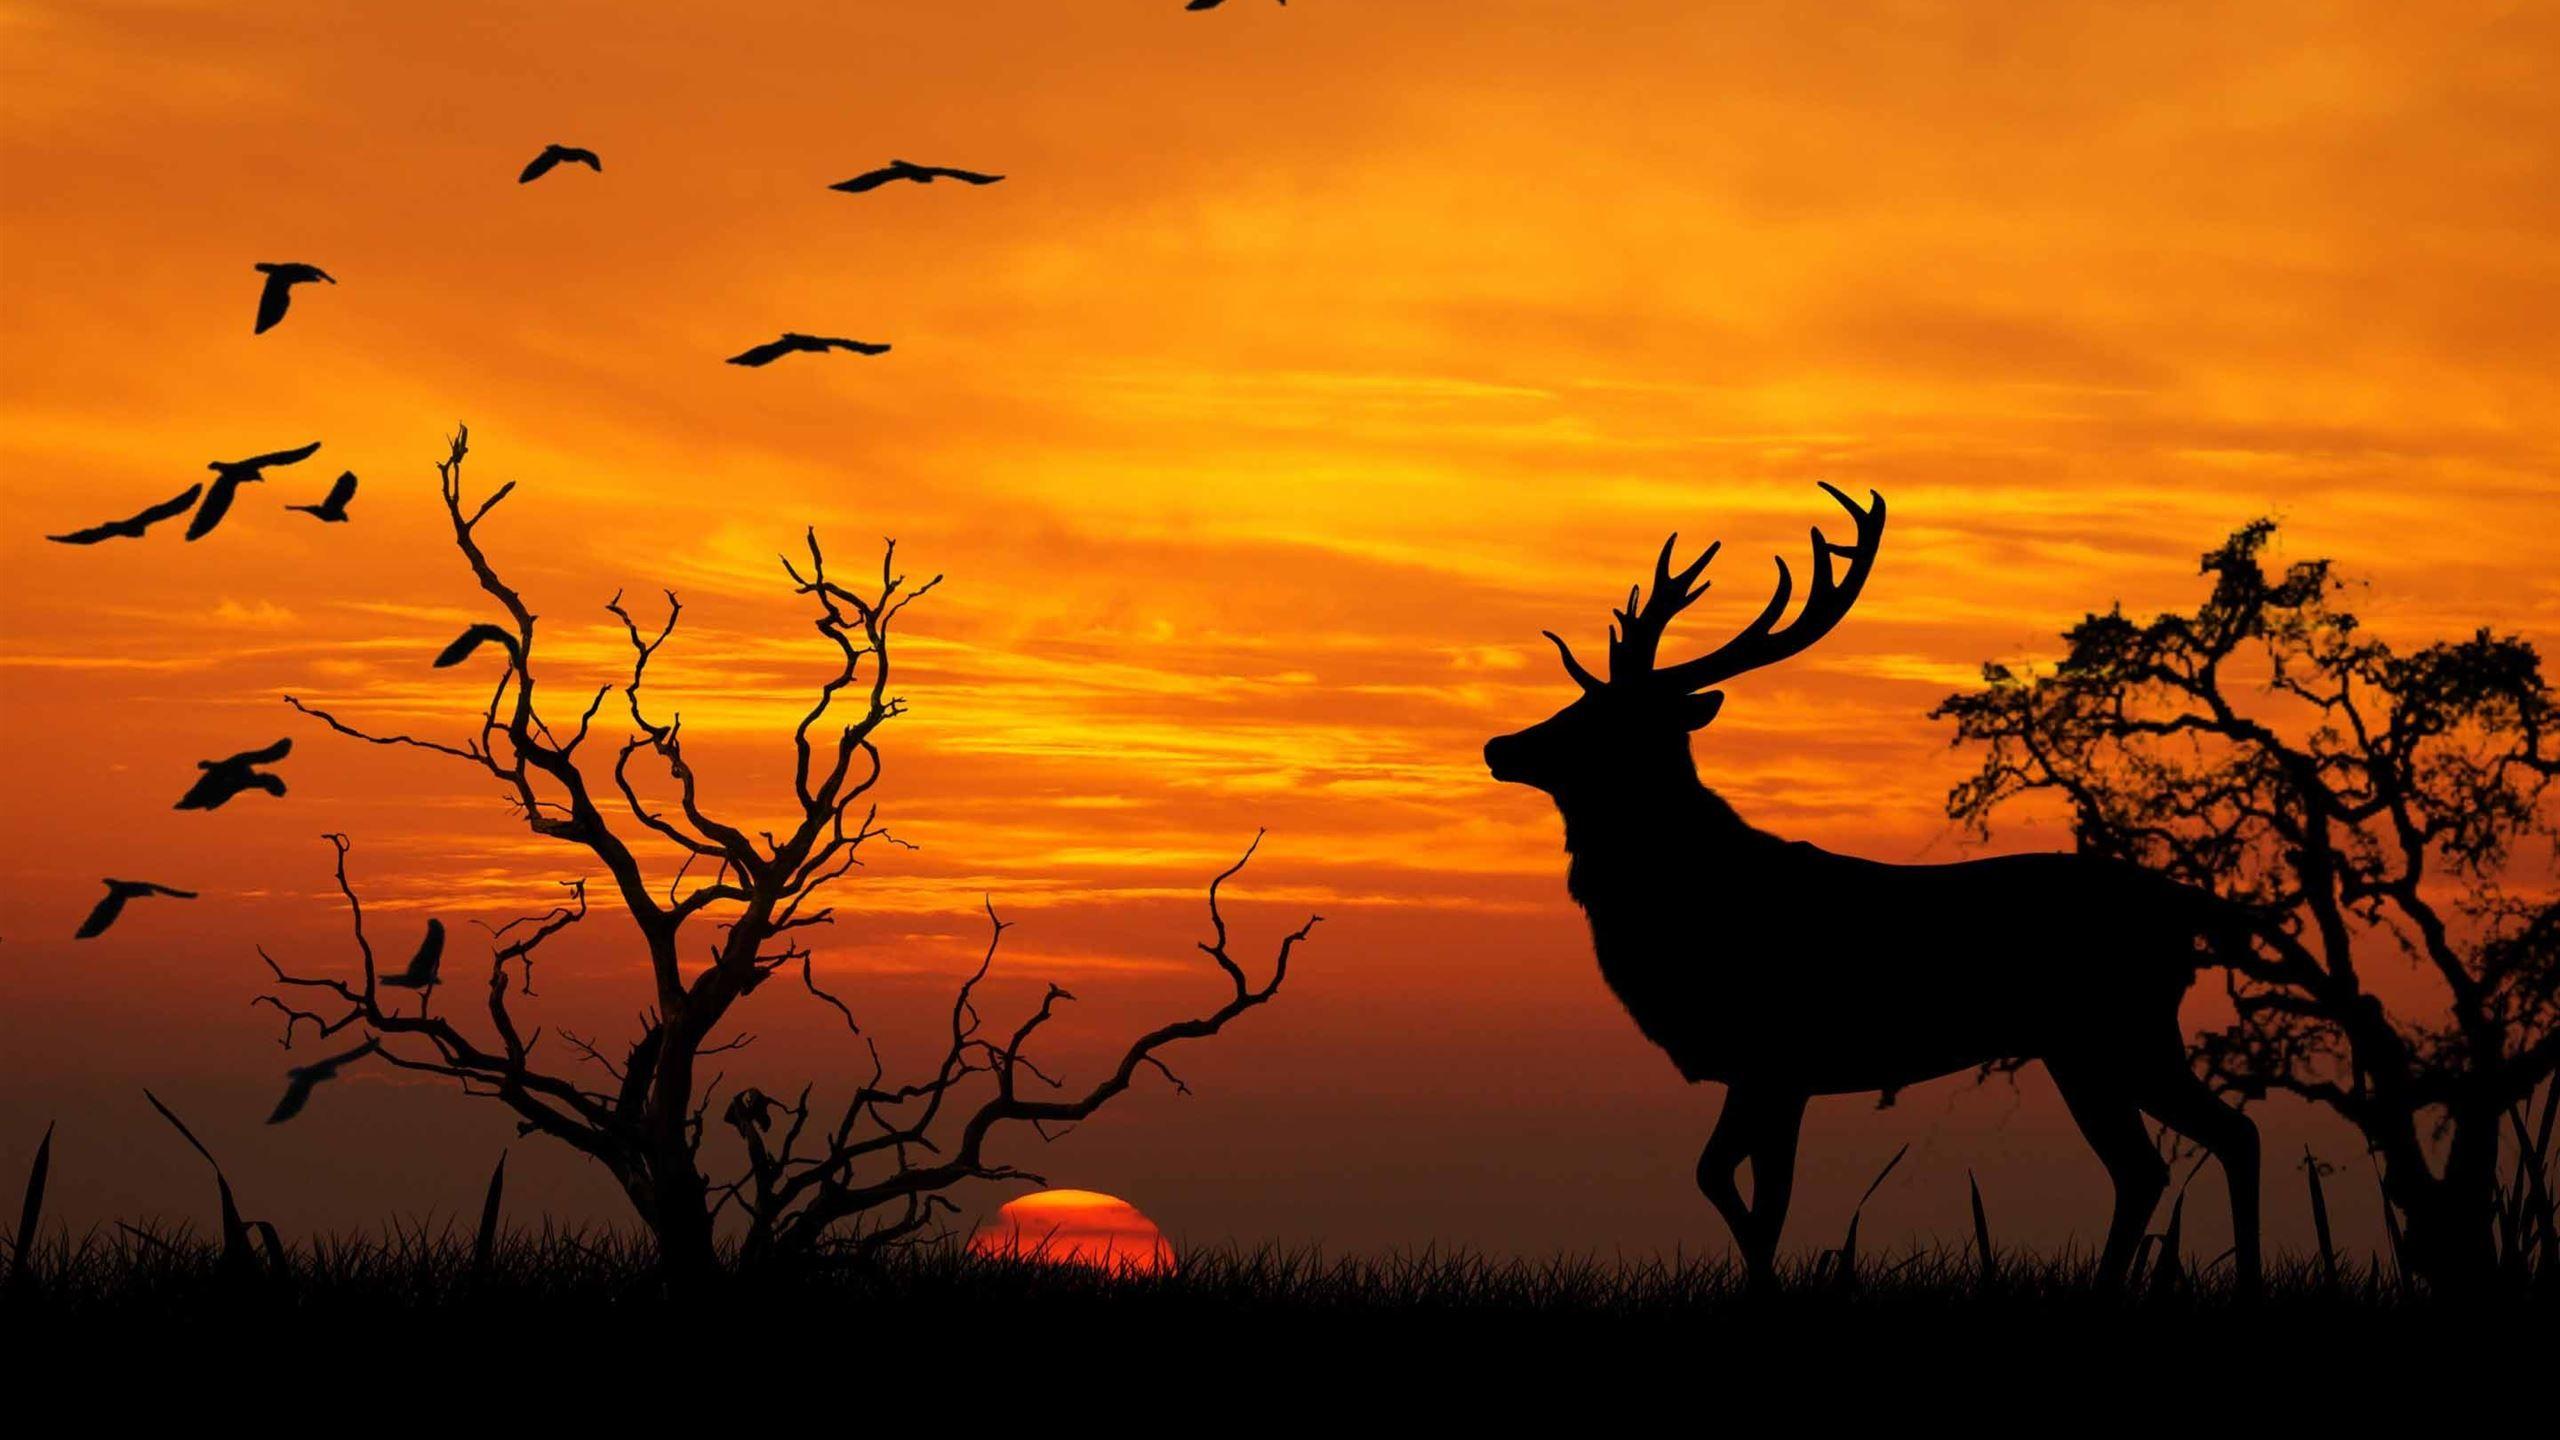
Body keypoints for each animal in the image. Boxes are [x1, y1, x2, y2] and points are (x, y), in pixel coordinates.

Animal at [1483, 483, 2261, 1292]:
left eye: (1604, 716)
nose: (1499, 746)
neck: (1687, 903)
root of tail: (2188, 907)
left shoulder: (1779, 1059)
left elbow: (1751, 1197)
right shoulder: (1760, 1072)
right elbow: (1731, 1186)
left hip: (2121, 1027)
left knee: (2214, 1139)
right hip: (2087, 1047)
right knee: (2159, 1162)